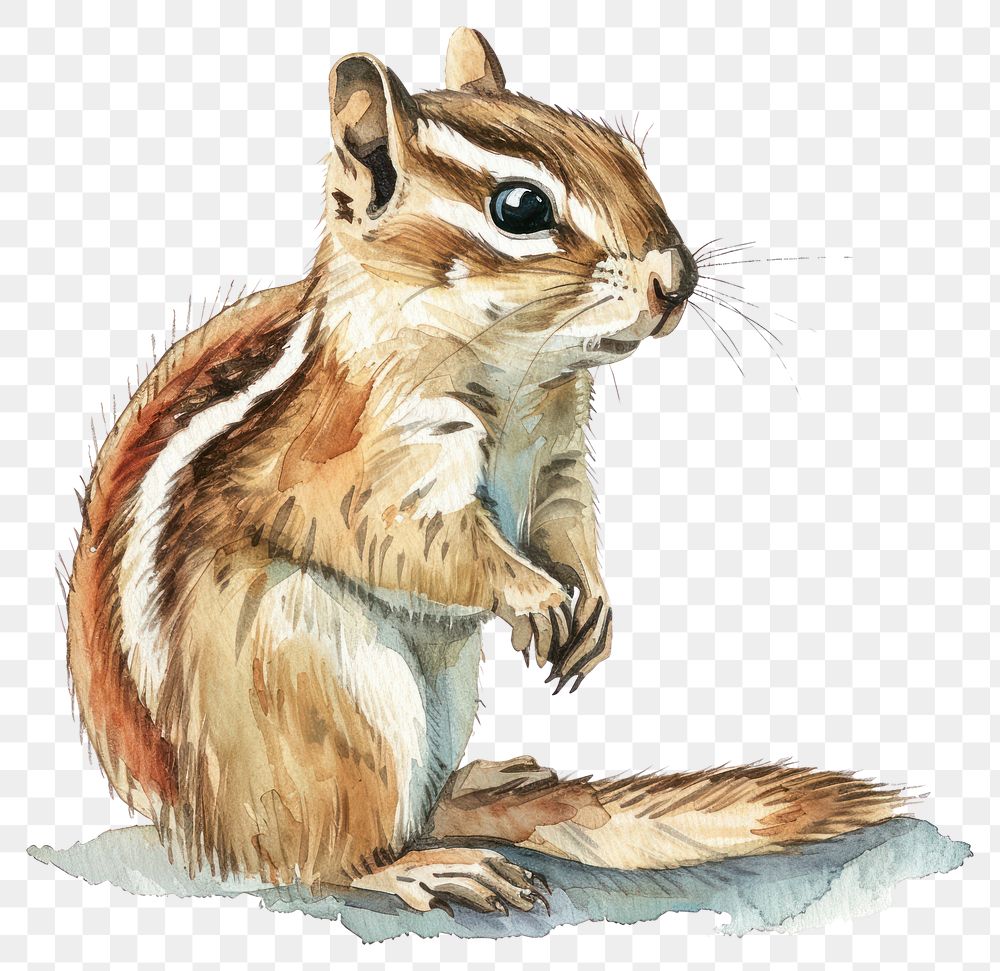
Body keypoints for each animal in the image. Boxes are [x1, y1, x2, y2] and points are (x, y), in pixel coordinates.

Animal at [66, 28, 904, 916]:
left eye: (628, 153)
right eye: (520, 209)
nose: (676, 282)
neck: (516, 376)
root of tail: (198, 825)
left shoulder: (560, 451)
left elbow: (566, 518)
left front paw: (592, 600)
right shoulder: (375, 463)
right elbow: (417, 539)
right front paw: (534, 595)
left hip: (442, 688)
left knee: (415, 804)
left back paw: (478, 788)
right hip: (325, 691)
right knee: (319, 857)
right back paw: (420, 865)